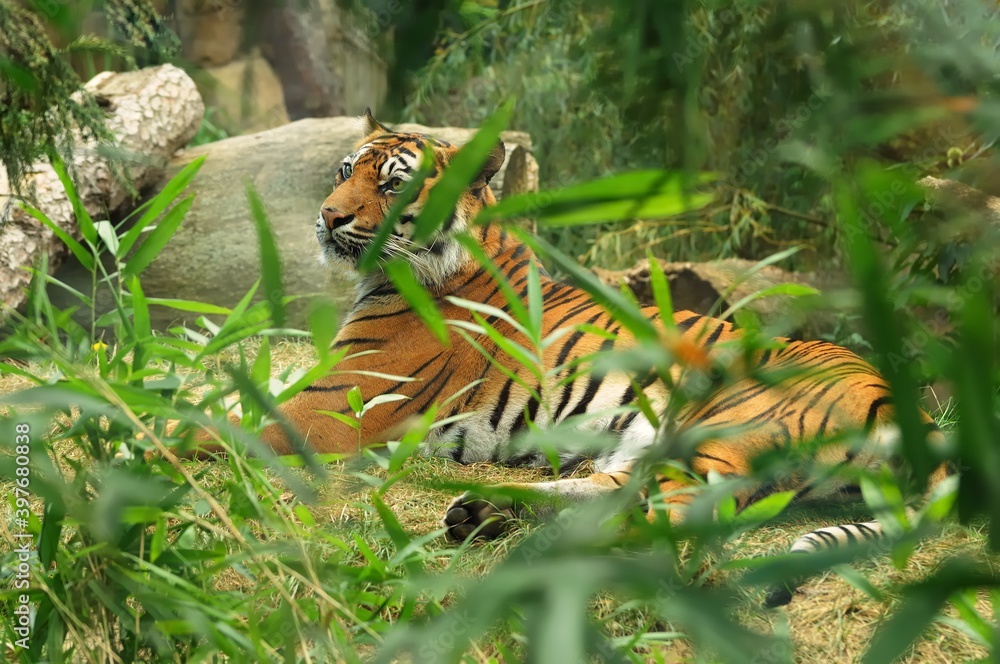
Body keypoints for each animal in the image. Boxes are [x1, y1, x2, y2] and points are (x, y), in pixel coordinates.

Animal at [189, 109, 952, 606]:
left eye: (393, 184)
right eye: (346, 170)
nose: (327, 217)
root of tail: (898, 400)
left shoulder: (331, 408)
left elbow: (209, 423)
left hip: (716, 427)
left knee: (663, 520)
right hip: (656, 439)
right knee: (616, 494)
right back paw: (487, 516)